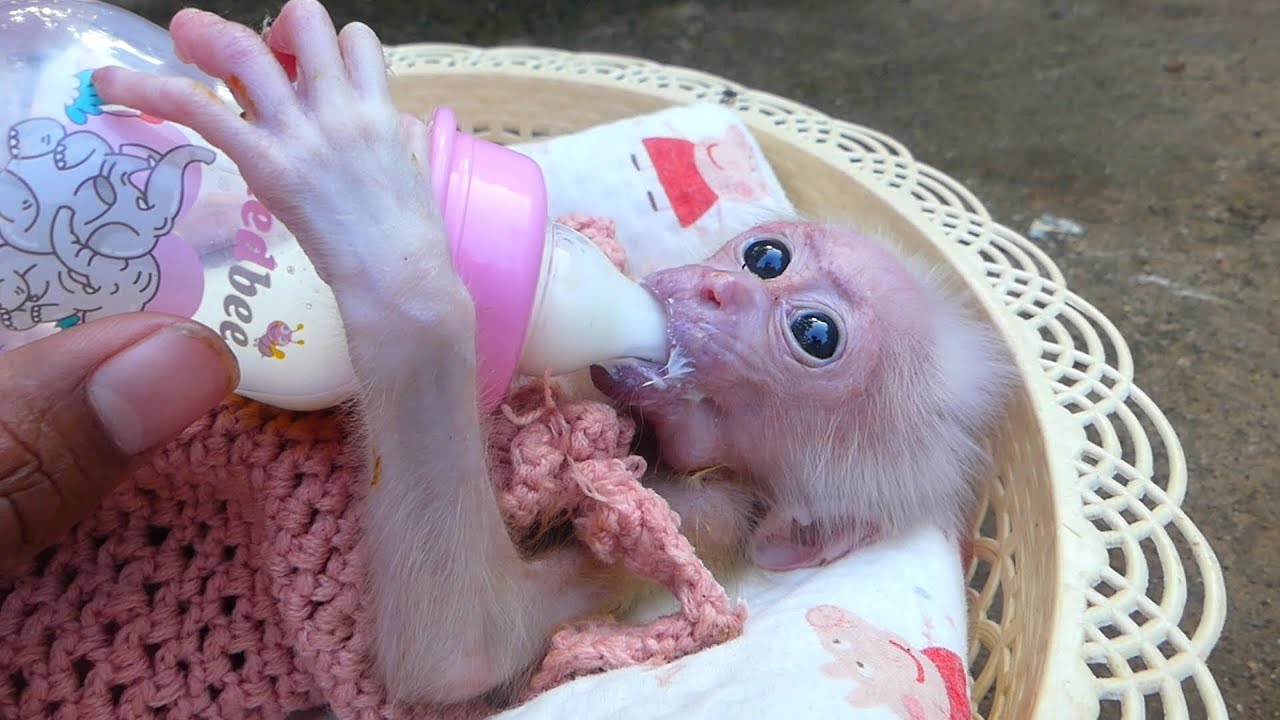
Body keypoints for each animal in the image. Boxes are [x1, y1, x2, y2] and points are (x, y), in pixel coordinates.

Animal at [92, 0, 1015, 710]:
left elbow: (461, 650)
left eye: (815, 336)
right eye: (765, 258)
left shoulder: (699, 515)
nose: (721, 293)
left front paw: (378, 220)